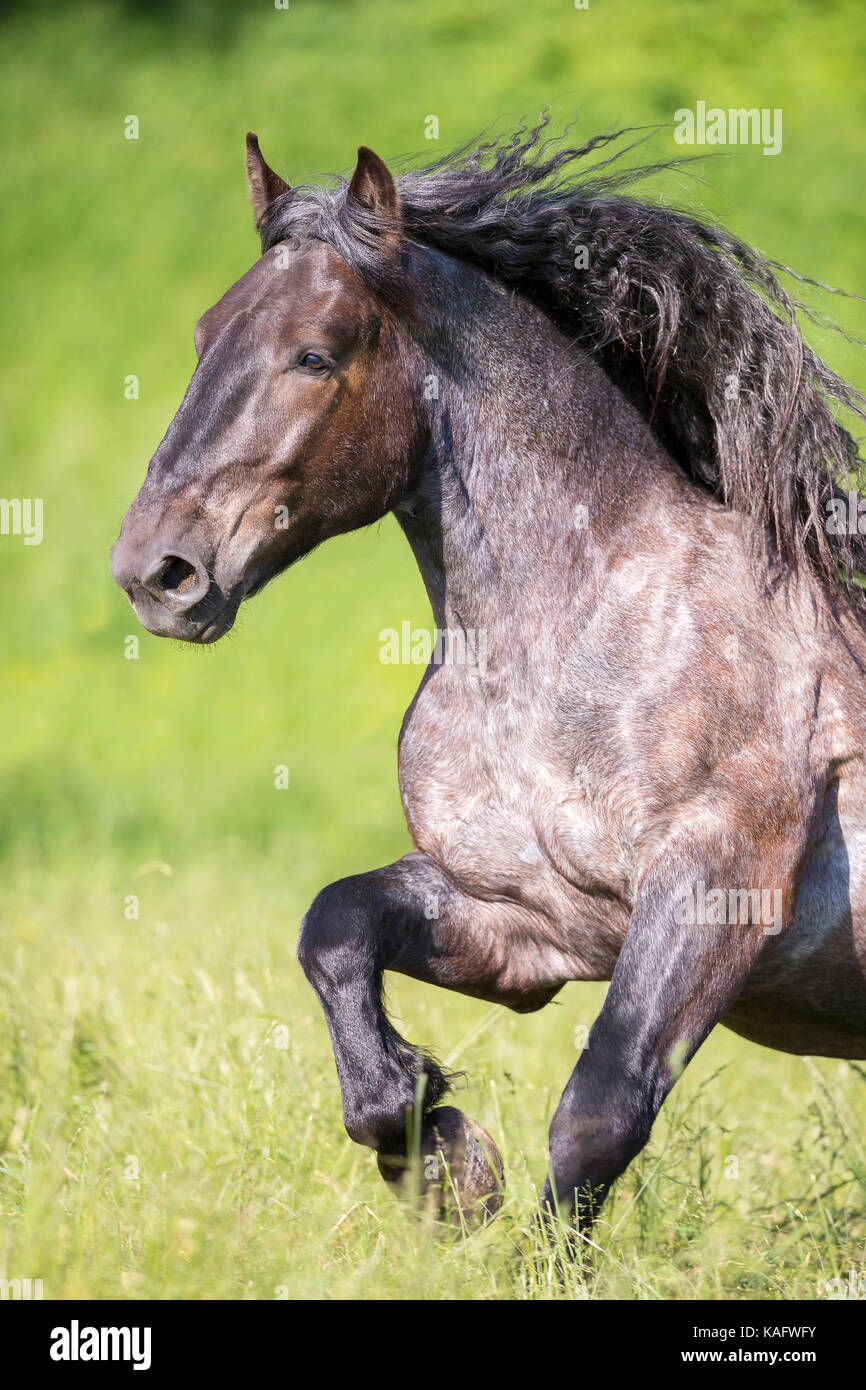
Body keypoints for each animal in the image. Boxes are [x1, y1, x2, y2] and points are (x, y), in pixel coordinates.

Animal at [110, 120, 866, 1238]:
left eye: (313, 353)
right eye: (206, 335)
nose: (156, 574)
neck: (570, 645)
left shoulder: (713, 887)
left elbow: (600, 1106)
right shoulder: (526, 920)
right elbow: (333, 928)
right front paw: (438, 1152)